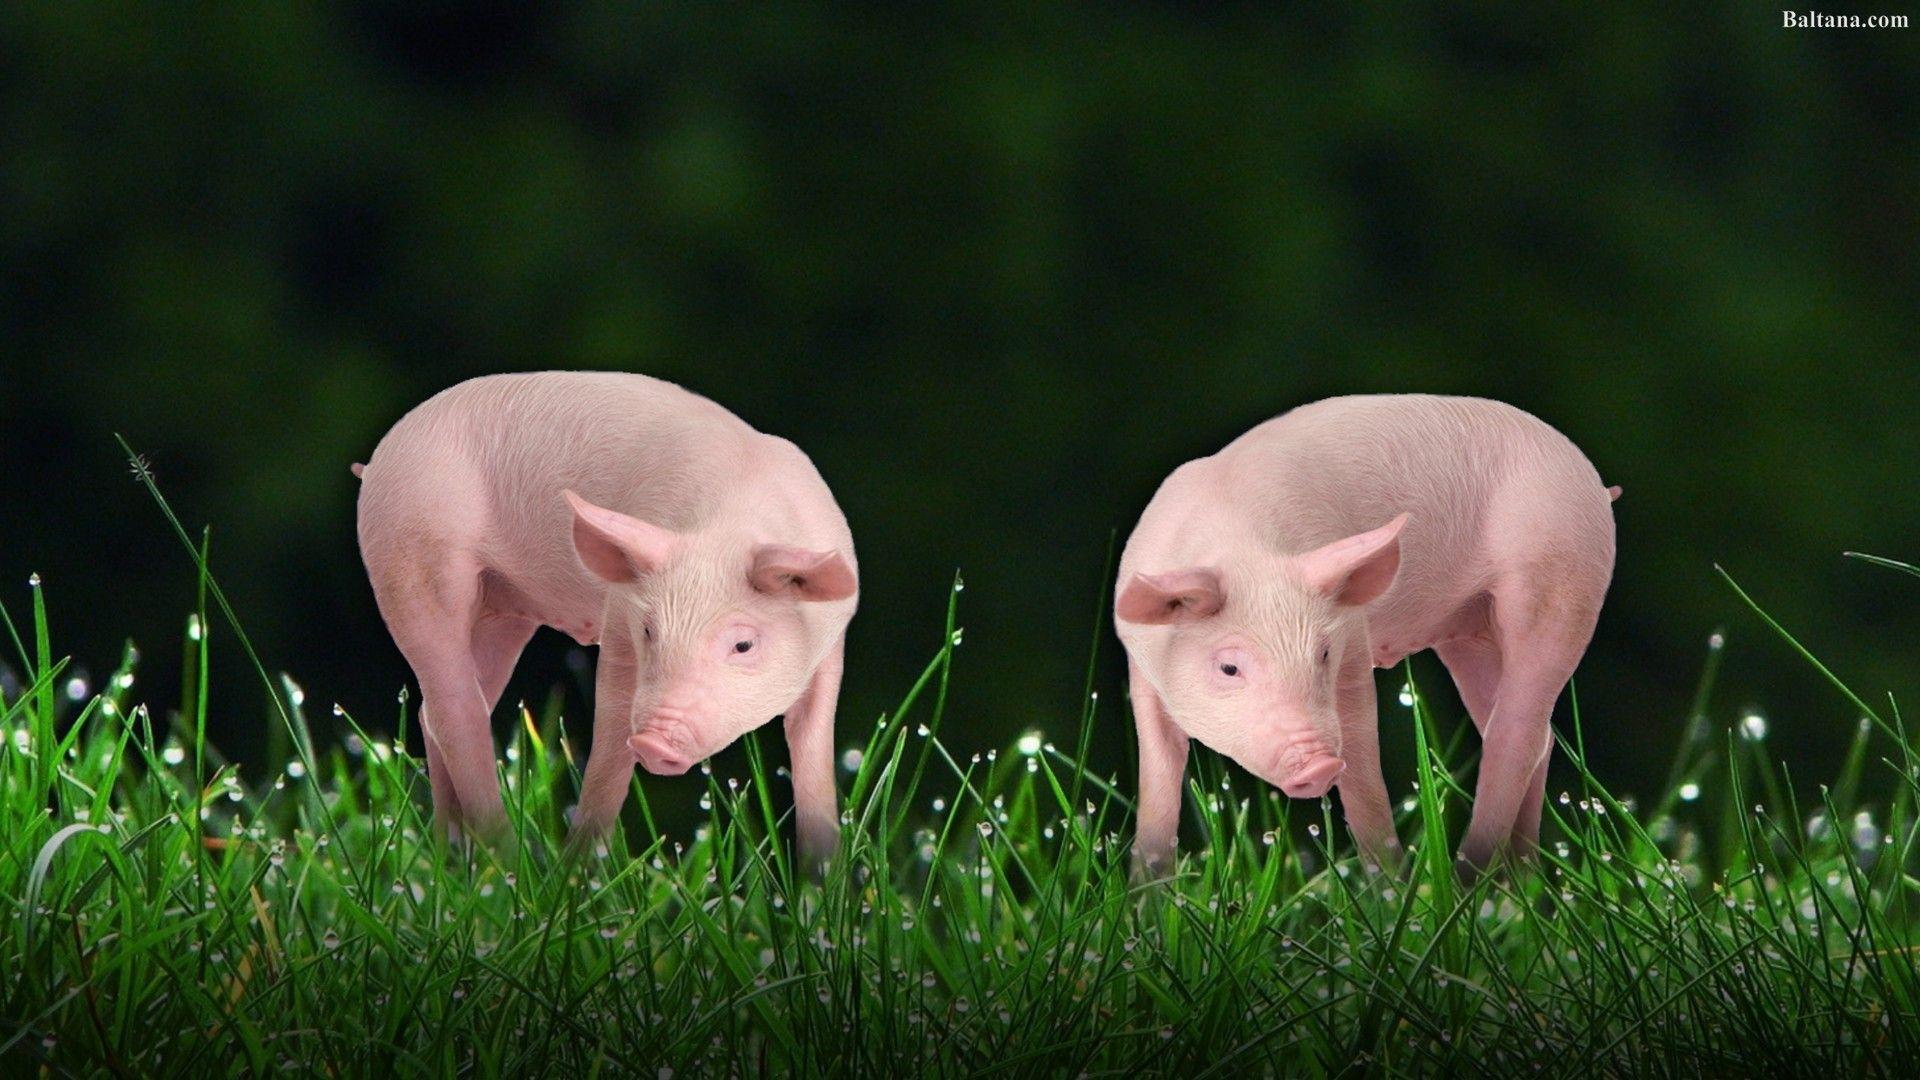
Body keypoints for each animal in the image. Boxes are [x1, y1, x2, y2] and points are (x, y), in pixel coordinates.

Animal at [355, 372, 857, 863]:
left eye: (743, 644)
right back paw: (507, 865)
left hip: (502, 609)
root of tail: (378, 460)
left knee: (443, 709)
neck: (732, 525)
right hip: (413, 550)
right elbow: (611, 740)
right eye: (650, 631)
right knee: (455, 711)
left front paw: (821, 878)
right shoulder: (619, 614)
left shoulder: (831, 650)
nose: (654, 741)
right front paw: (578, 873)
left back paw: (454, 857)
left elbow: (813, 745)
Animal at [1115, 395, 1617, 878]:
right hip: (1470, 631)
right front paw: (1145, 895)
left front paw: (1390, 890)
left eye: (1322, 653)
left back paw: (1468, 882)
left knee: (1517, 734)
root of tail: (1594, 483)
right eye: (1229, 666)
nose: (1319, 762)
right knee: (1525, 732)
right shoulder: (1142, 672)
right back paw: (1521, 883)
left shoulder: (1353, 639)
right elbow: (1158, 773)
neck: (1241, 548)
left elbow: (1362, 769)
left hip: (1559, 574)